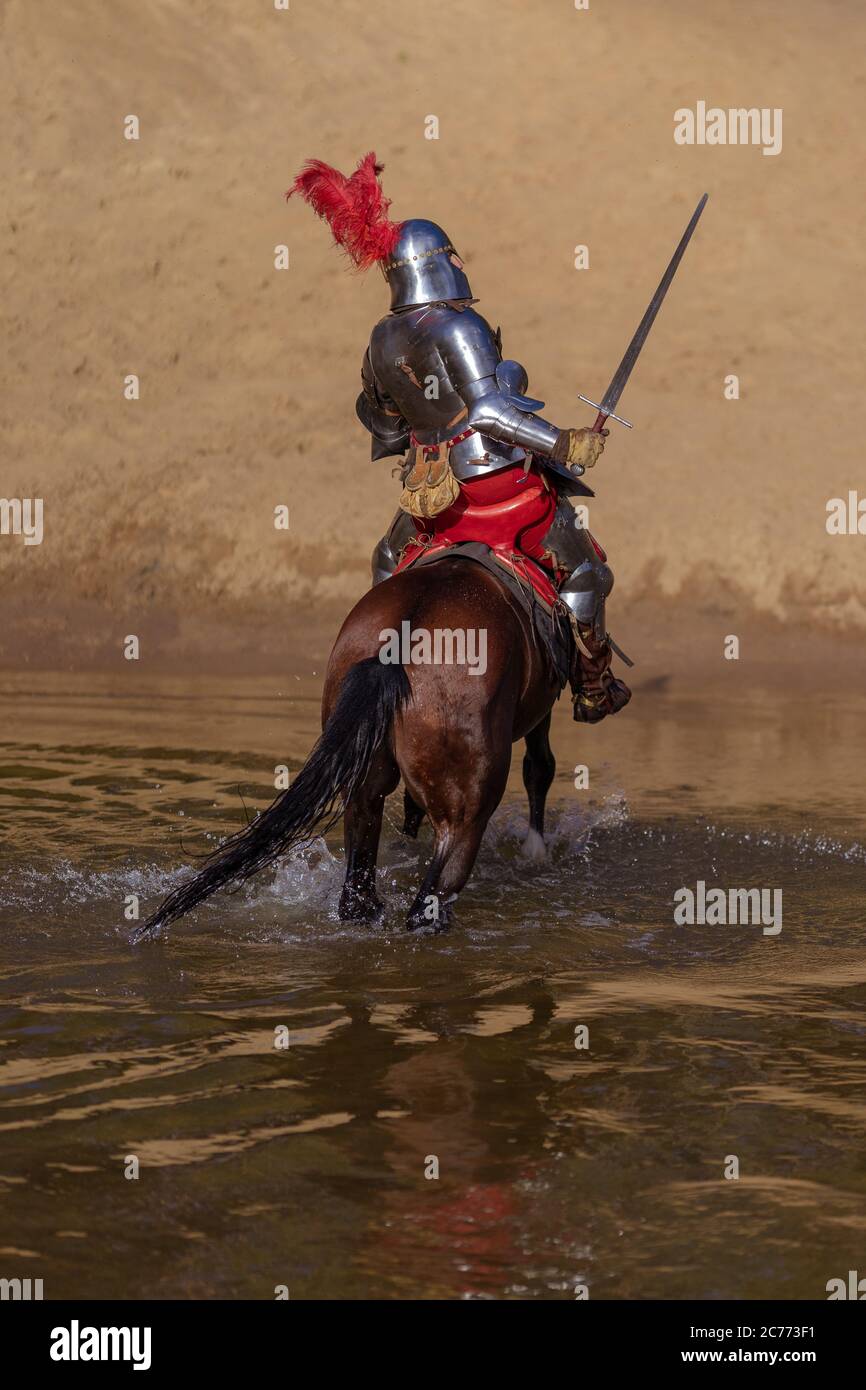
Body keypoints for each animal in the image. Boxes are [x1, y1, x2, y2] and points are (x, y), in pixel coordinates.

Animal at [132, 554, 561, 941]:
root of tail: (395, 649)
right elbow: (540, 767)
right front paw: (536, 849)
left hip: (362, 787)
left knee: (358, 898)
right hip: (465, 812)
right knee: (427, 905)